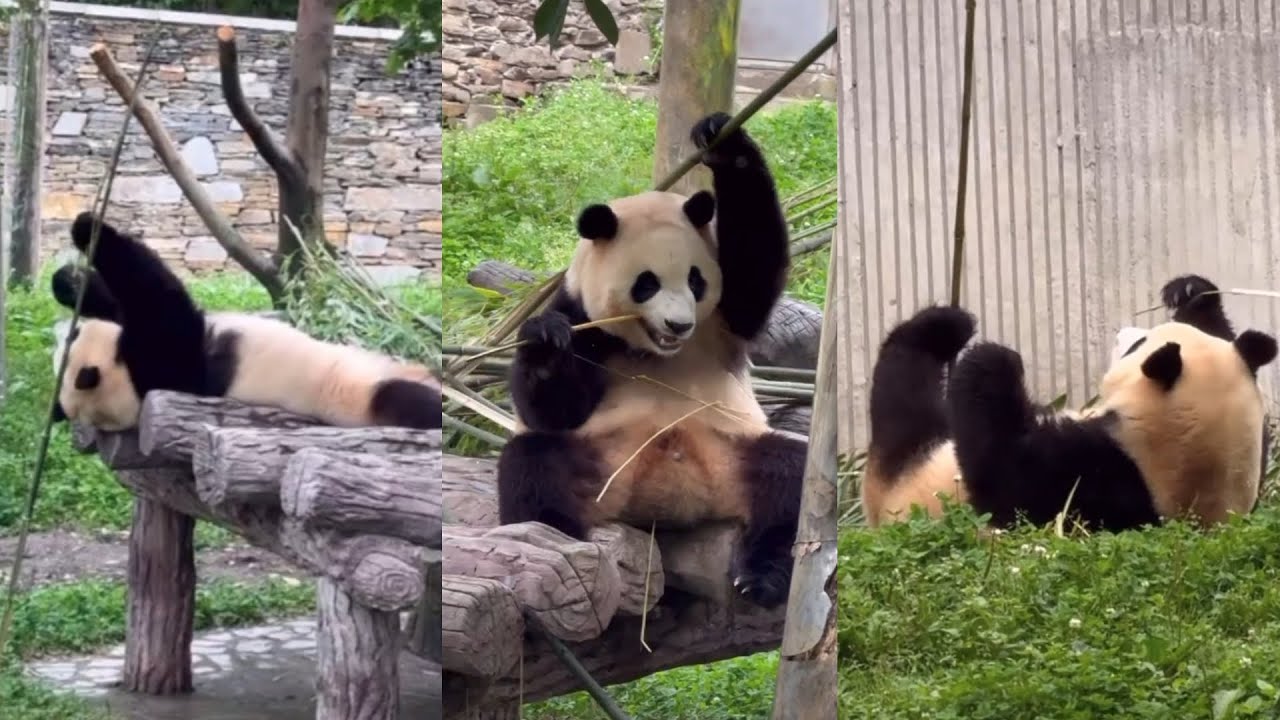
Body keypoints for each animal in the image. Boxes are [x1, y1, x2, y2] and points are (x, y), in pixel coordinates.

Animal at [50, 212, 443, 432]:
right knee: (409, 401)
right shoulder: (174, 368)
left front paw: (70, 278)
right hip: (360, 395)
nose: (61, 333)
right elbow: (162, 301)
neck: (131, 387)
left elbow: (123, 304)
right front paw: (88, 230)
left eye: (74, 335)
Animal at [495, 112, 806, 610]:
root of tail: (666, 506)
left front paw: (722, 142)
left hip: (732, 452)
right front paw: (544, 341)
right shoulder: (580, 313)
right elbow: (555, 409)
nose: (679, 325)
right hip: (602, 463)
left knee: (788, 478)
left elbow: (753, 272)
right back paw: (556, 548)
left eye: (696, 281)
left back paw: (762, 577)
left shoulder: (722, 323)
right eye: (647, 283)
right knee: (535, 469)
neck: (655, 350)